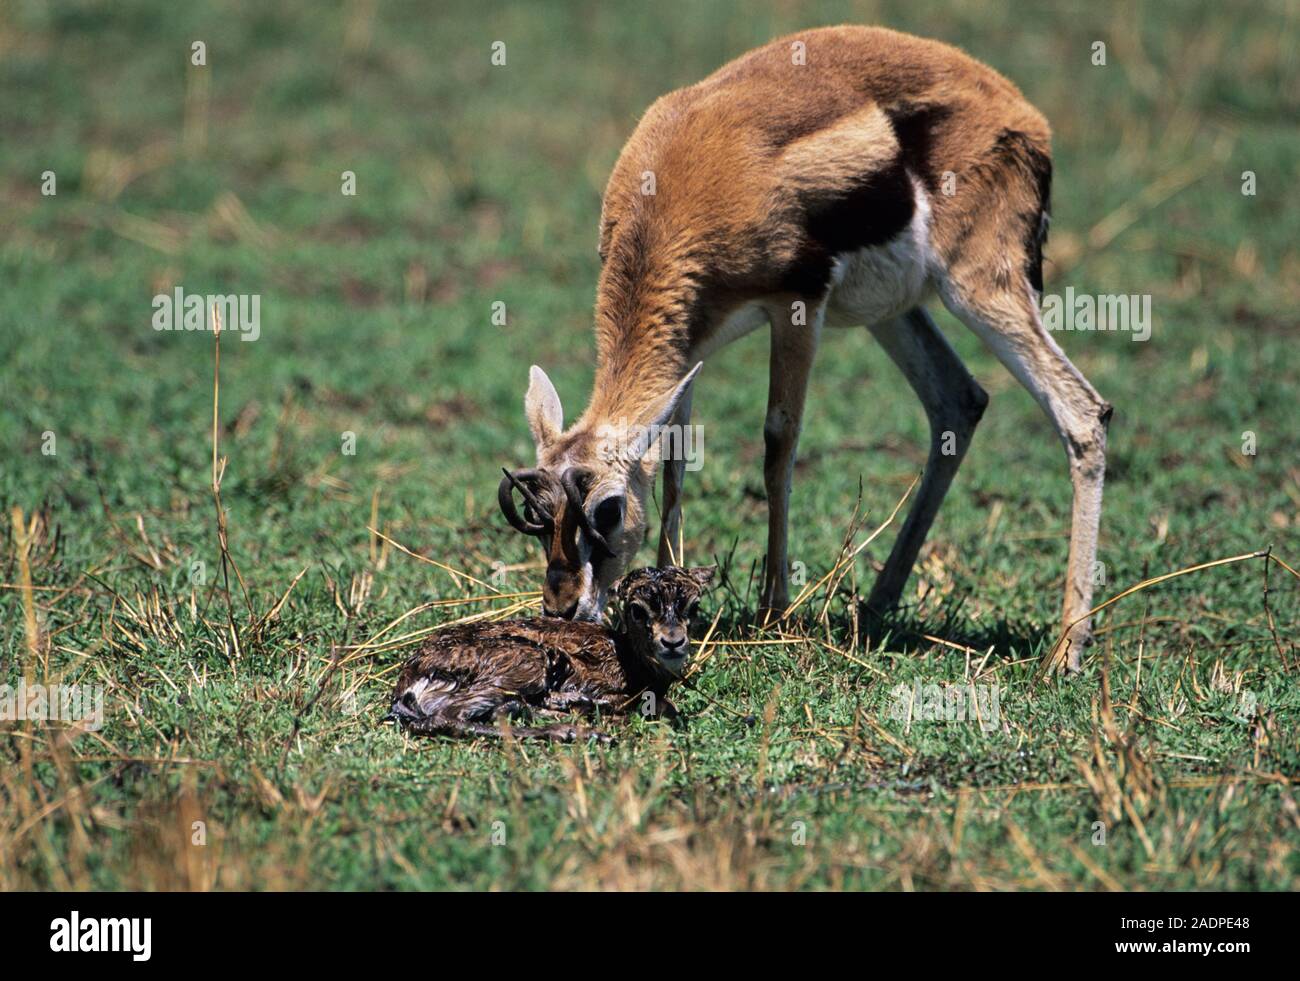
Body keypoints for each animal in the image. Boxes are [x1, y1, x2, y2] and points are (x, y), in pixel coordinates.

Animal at [386, 566, 713, 742]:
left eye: (694, 606)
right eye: (636, 609)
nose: (672, 641)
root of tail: (407, 680)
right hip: (528, 662)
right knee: (441, 719)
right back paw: (577, 731)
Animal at [497, 26, 1112, 672]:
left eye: (608, 509)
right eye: (537, 512)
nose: (562, 607)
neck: (675, 188)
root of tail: (1020, 112)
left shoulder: (797, 306)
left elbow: (778, 443)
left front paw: (774, 611)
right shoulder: (689, 349)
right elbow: (675, 463)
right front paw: (668, 588)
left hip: (979, 289)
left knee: (1082, 413)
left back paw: (1067, 649)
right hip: (895, 314)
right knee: (959, 399)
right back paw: (877, 606)